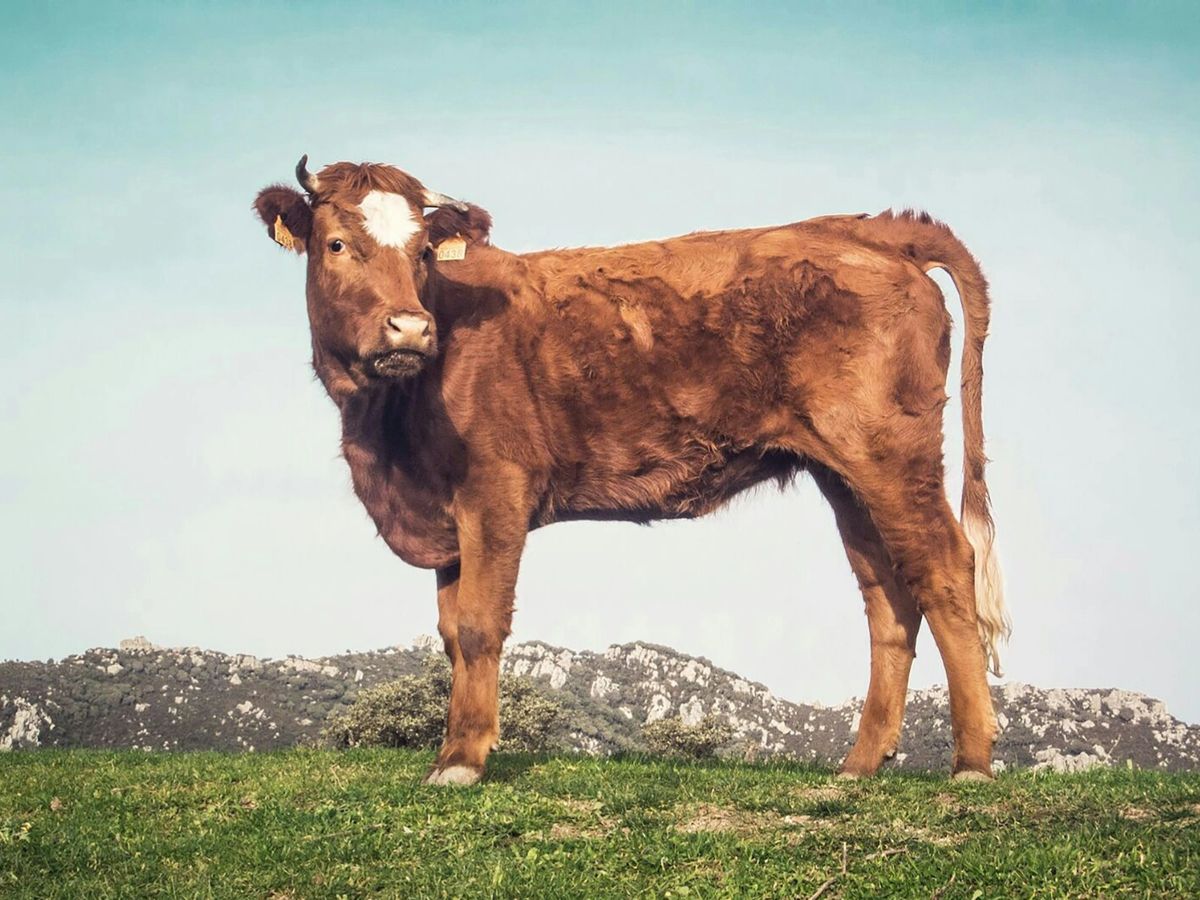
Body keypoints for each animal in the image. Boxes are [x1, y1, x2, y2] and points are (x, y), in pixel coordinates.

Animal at [253, 157, 1010, 785]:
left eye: (421, 254)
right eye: (336, 244)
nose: (411, 329)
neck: (386, 433)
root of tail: (867, 228)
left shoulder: (496, 492)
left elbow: (478, 626)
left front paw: (462, 760)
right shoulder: (444, 512)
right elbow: (449, 634)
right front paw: (453, 746)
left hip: (892, 456)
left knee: (945, 568)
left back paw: (972, 762)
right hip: (845, 474)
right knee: (888, 597)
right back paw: (859, 764)